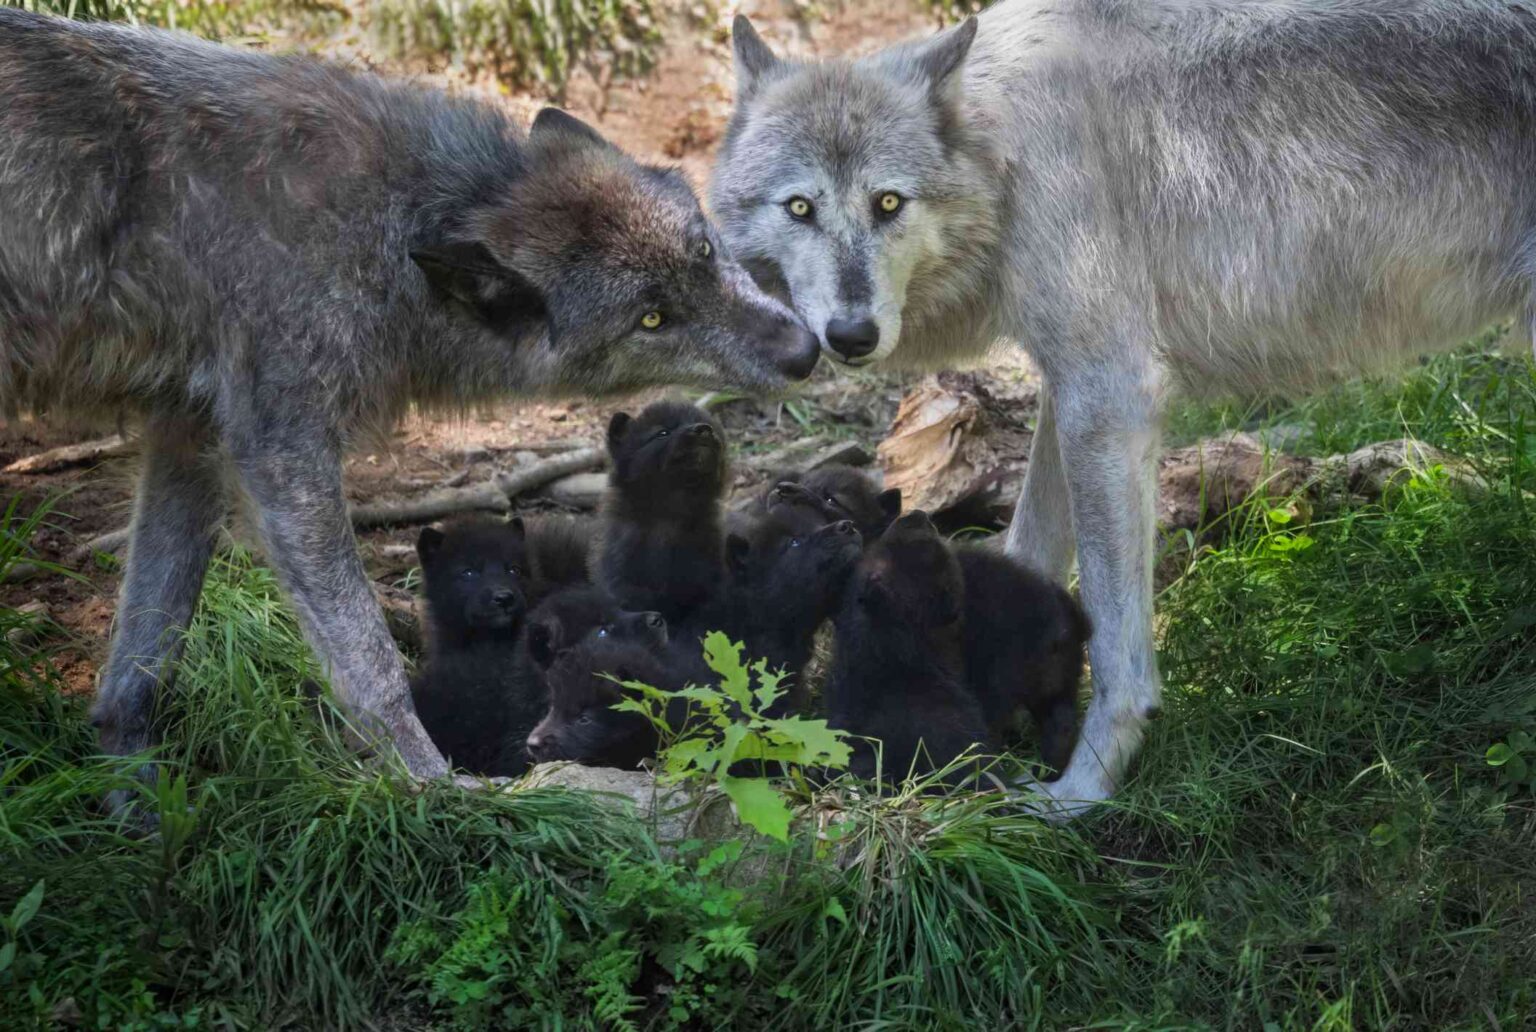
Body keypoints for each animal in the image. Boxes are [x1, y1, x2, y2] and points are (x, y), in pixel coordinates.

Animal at [0, 9, 818, 805]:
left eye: (703, 252)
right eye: (651, 319)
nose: (805, 350)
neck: (390, 226)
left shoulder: (188, 437)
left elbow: (142, 663)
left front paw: (137, 808)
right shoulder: (281, 448)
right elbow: (371, 661)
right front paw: (434, 790)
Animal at [710, 0, 1536, 816]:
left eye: (888, 203)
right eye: (800, 207)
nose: (851, 335)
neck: (1006, 155)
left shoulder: (1109, 396)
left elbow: (1115, 645)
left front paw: (1083, 789)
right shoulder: (1071, 388)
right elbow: (1029, 544)